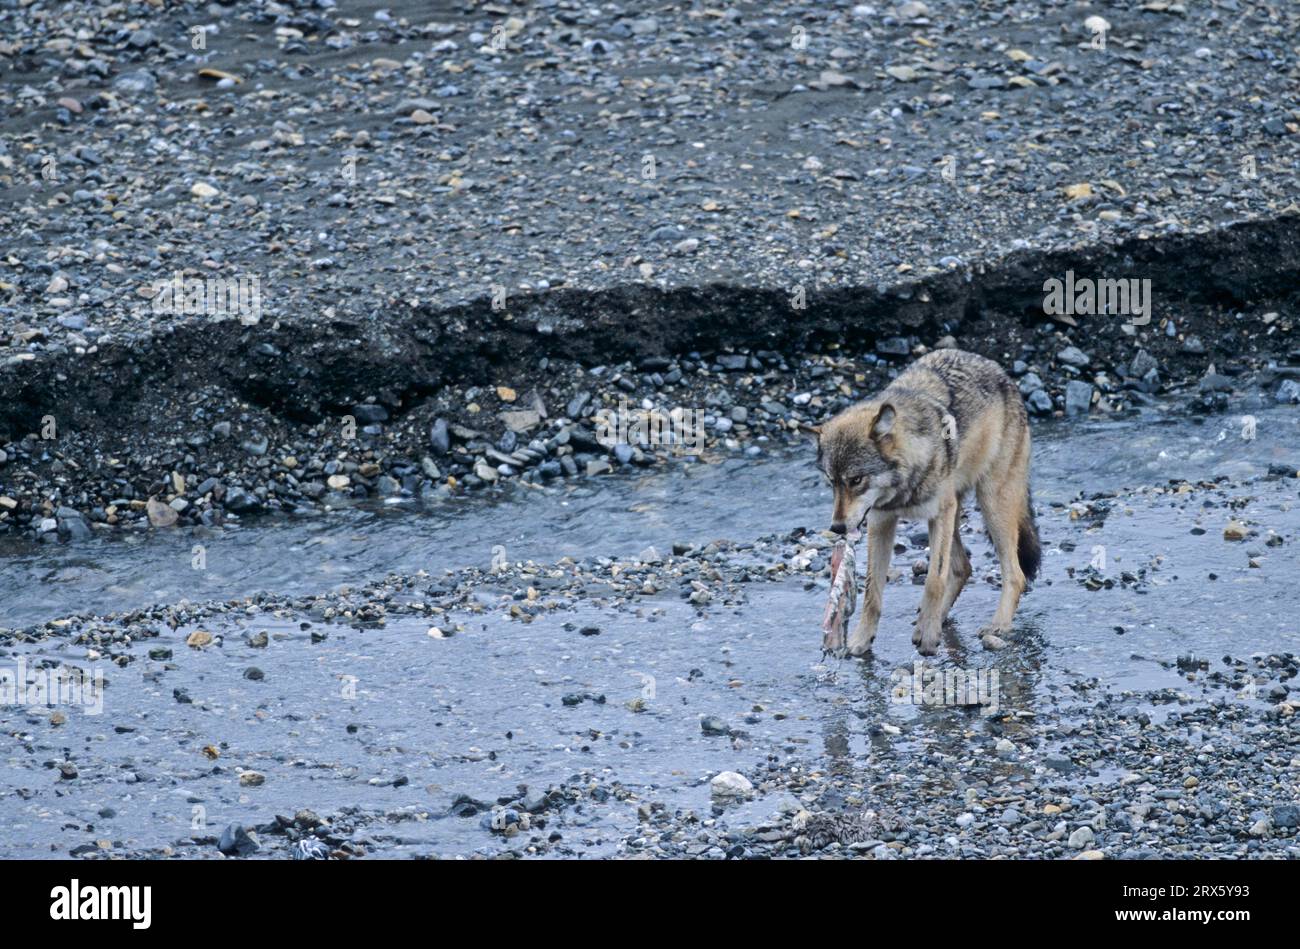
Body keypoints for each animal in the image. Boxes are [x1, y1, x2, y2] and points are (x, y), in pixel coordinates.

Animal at [811, 349, 1040, 656]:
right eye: (831, 481)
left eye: (856, 480)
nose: (836, 527)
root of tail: (996, 368)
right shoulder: (881, 520)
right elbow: (872, 590)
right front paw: (861, 639)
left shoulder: (939, 513)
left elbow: (933, 580)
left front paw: (929, 636)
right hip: (958, 513)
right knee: (963, 568)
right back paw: (935, 619)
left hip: (990, 504)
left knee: (1015, 575)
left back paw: (996, 625)